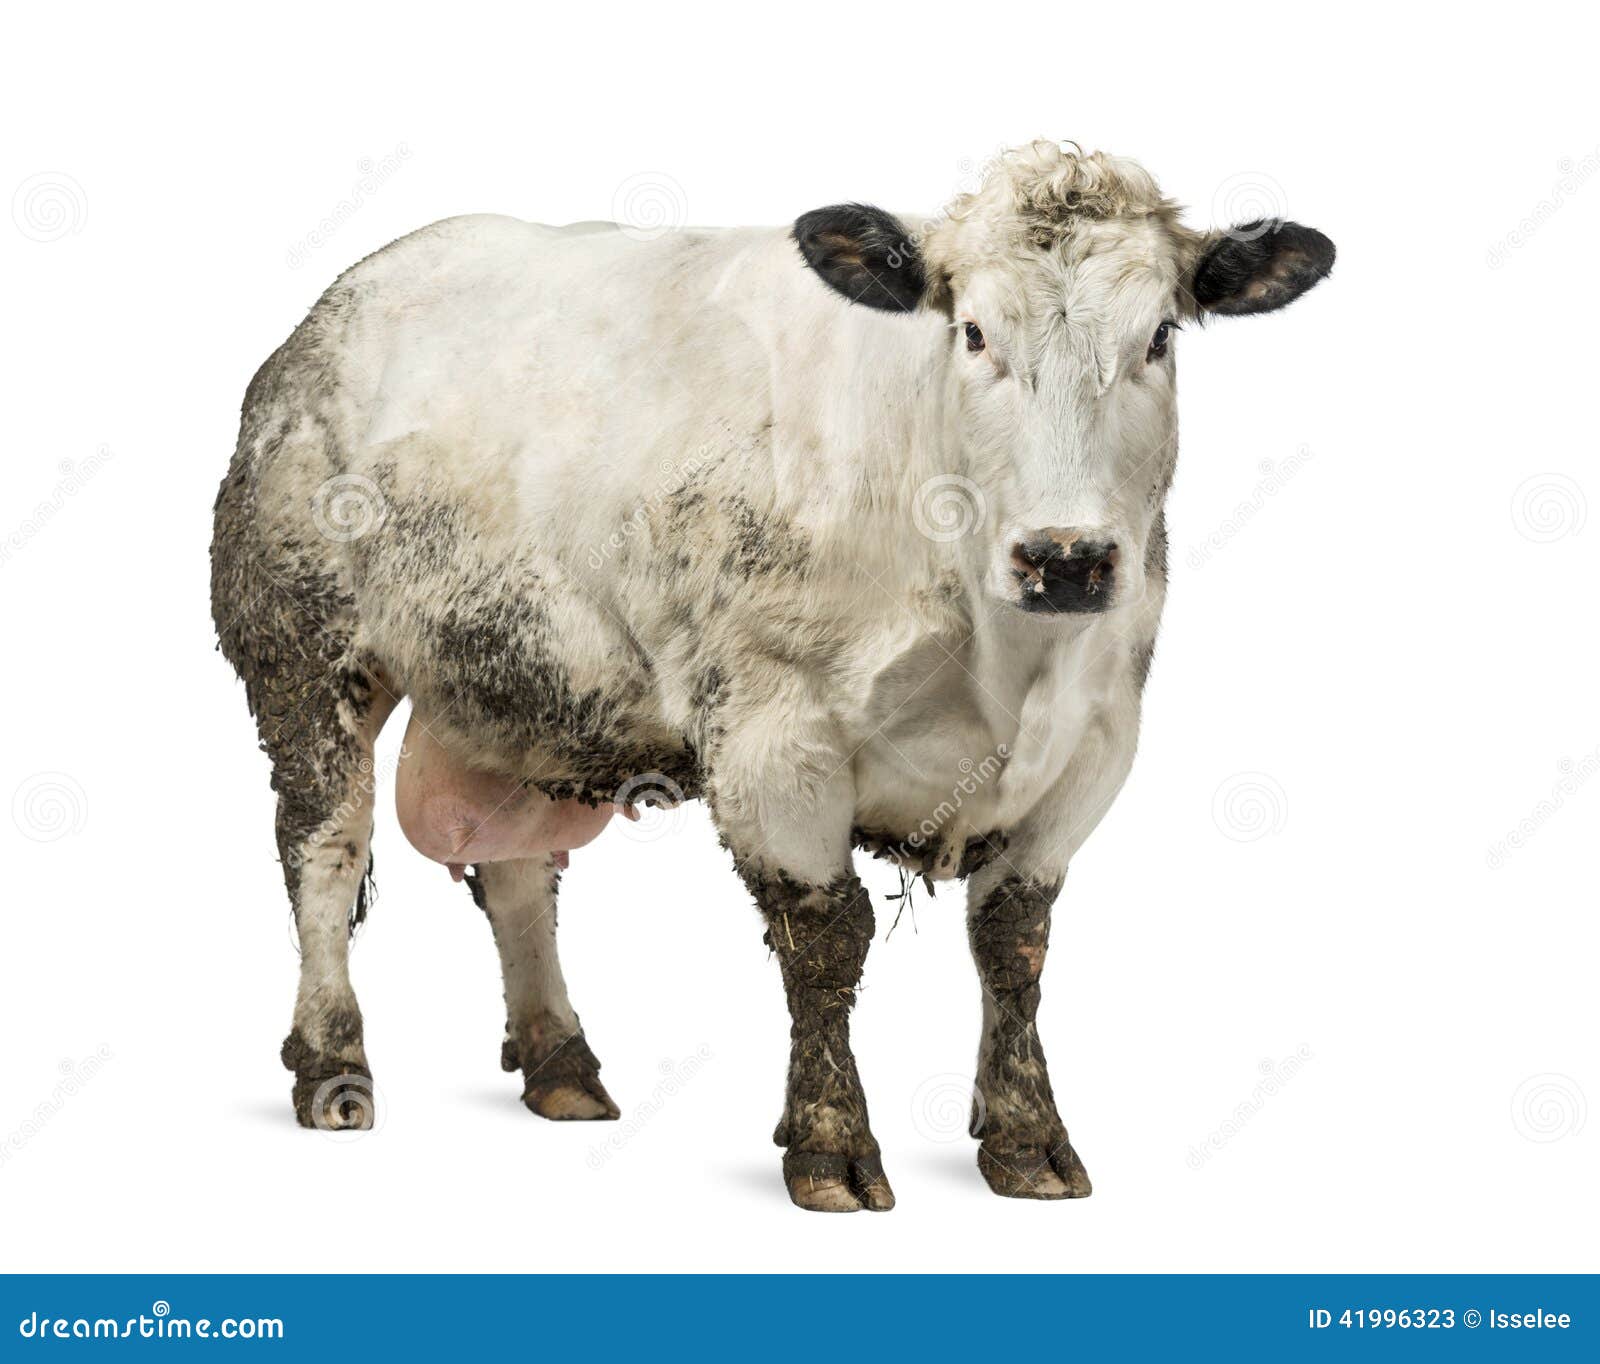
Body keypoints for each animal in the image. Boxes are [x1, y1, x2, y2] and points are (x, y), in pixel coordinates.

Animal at [210, 140, 1333, 1212]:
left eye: (1159, 336)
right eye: (973, 333)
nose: (1066, 558)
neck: (1004, 651)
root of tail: (335, 307)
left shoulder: (1095, 742)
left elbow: (1014, 941)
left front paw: (1028, 1137)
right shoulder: (771, 733)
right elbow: (827, 937)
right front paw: (832, 1144)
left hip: (520, 684)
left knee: (519, 872)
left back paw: (561, 1060)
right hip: (301, 646)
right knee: (325, 848)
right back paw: (333, 1063)